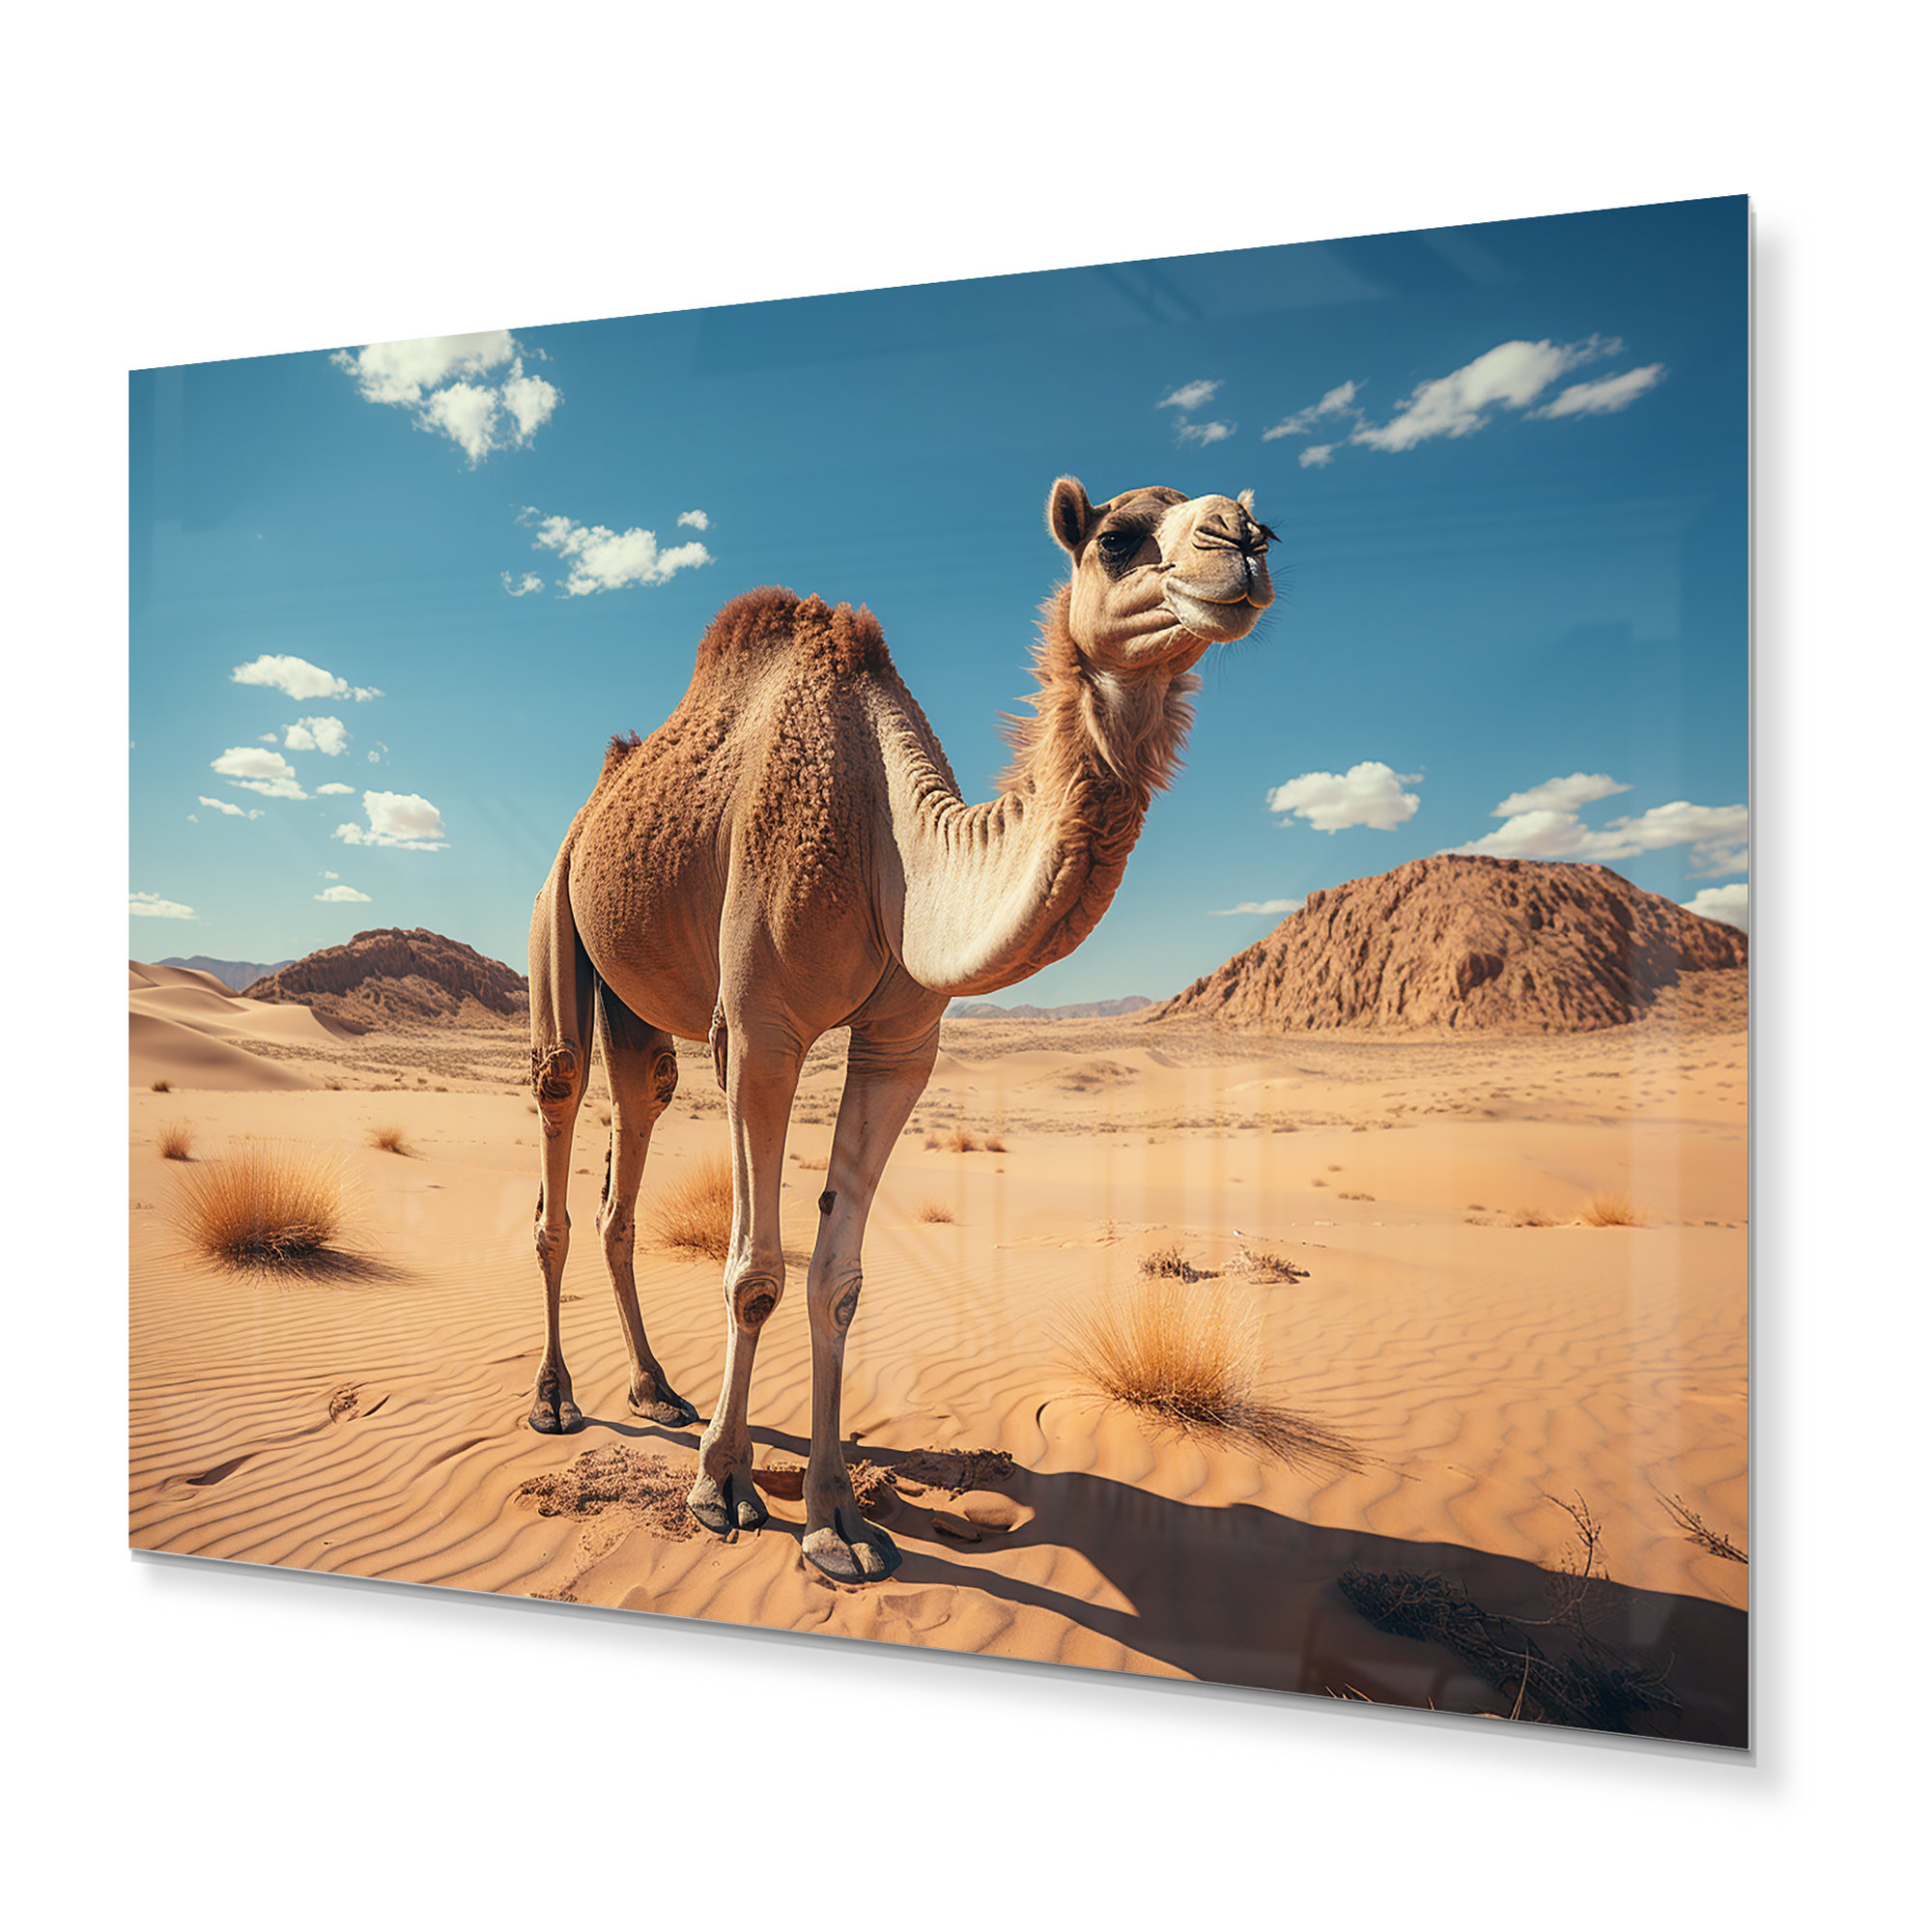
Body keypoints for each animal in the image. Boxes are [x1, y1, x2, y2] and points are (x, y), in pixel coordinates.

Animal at [525, 476, 1275, 1582]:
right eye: (1116, 537)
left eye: (1256, 525)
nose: (1245, 540)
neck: (892, 849)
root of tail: (595, 801)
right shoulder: (761, 1029)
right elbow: (754, 1271)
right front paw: (722, 1489)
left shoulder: (900, 1045)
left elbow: (836, 1278)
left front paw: (836, 1520)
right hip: (557, 918)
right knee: (561, 1106)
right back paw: (553, 1397)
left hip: (639, 1002)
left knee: (635, 1126)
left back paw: (656, 1388)